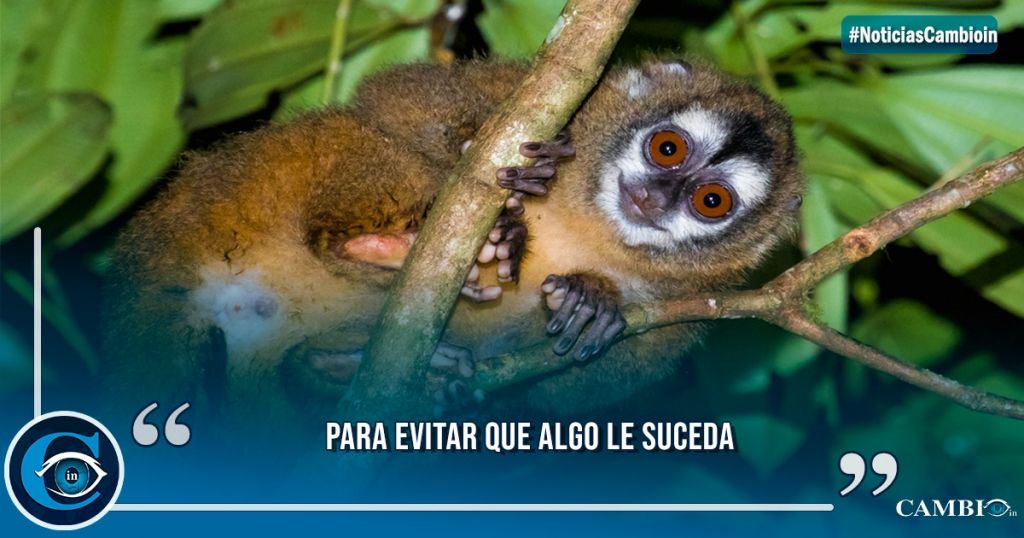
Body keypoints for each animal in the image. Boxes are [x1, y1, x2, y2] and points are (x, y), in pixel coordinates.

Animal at [101, 56, 802, 431]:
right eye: (668, 148)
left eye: (710, 202)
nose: (654, 198)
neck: (592, 220)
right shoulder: (547, 97)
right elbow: (397, 101)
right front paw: (494, 158)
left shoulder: (693, 301)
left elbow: (559, 397)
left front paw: (592, 303)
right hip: (270, 172)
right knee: (366, 144)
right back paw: (413, 247)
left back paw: (342, 367)